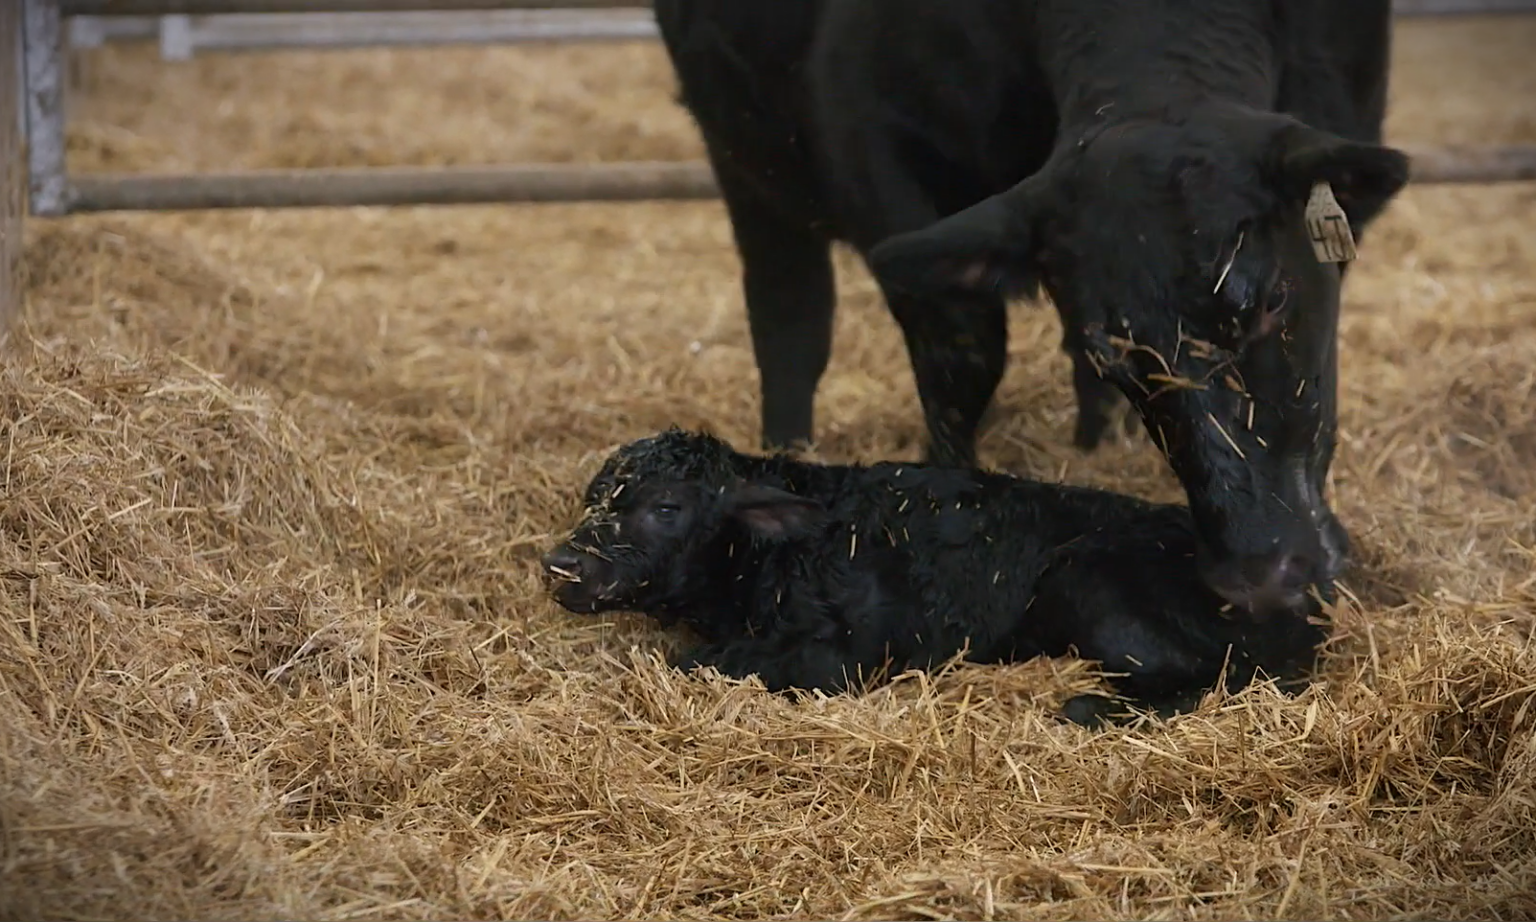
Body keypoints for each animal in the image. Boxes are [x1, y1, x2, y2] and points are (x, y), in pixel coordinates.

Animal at [540, 428, 1332, 726]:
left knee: (1221, 675)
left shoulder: (846, 656)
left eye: (666, 507)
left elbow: (696, 662)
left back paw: (1089, 707)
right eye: (593, 497)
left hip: (1097, 583)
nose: (561, 565)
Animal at [652, 0, 1411, 617]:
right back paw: (785, 448)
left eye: (1274, 300)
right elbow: (962, 355)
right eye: (1117, 356)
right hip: (751, 174)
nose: (1260, 575)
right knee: (790, 322)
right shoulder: (874, 146)